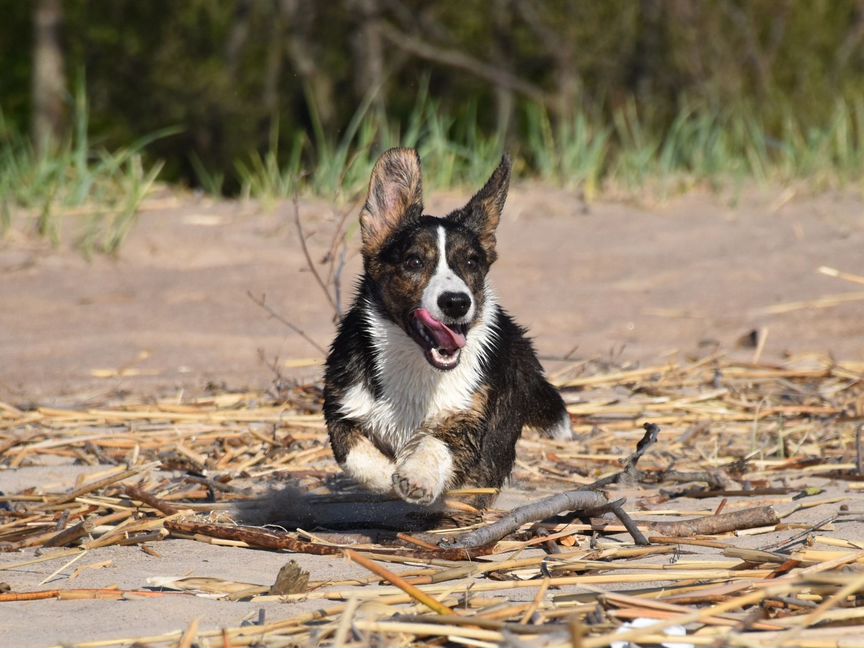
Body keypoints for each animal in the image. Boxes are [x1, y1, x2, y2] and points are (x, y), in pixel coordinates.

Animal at [320, 148, 572, 506]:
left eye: (471, 262)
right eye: (413, 261)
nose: (456, 302)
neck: (416, 366)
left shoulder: (466, 421)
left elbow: (435, 444)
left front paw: (416, 476)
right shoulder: (340, 407)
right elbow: (355, 456)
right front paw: (386, 476)